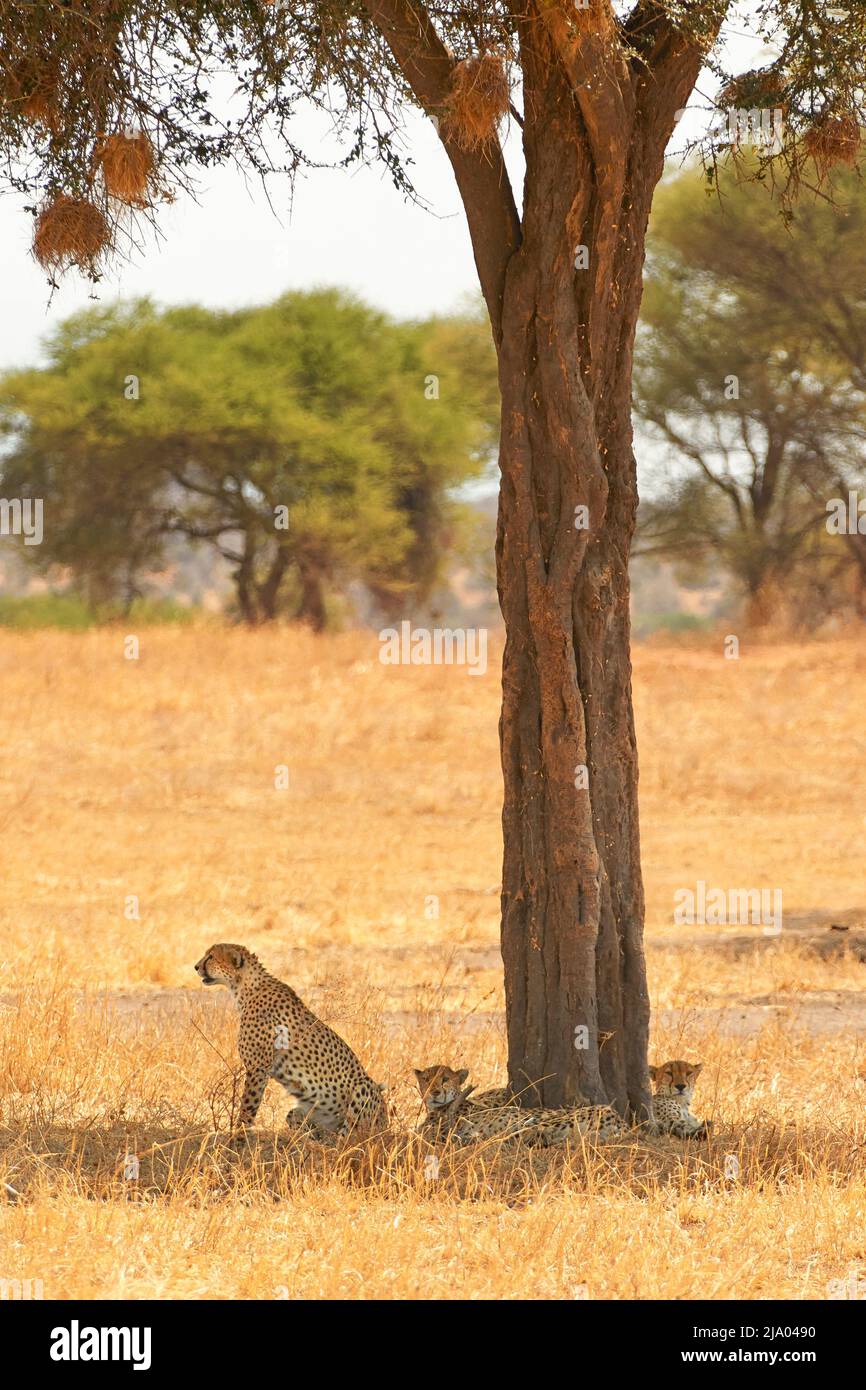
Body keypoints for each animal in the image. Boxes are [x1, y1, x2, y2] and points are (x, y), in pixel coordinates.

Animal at [195, 943, 388, 1136]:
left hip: (364, 1087)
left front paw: (238, 1135)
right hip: (303, 1113)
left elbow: (248, 1106)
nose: (196, 967)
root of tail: (387, 1123)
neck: (247, 987)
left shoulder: (258, 1067)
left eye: (211, 957)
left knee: (349, 1136)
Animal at [413, 1065, 626, 1146]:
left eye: (445, 1079)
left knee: (526, 1134)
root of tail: (621, 1121)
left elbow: (420, 1134)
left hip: (549, 1121)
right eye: (426, 1079)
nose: (434, 1092)